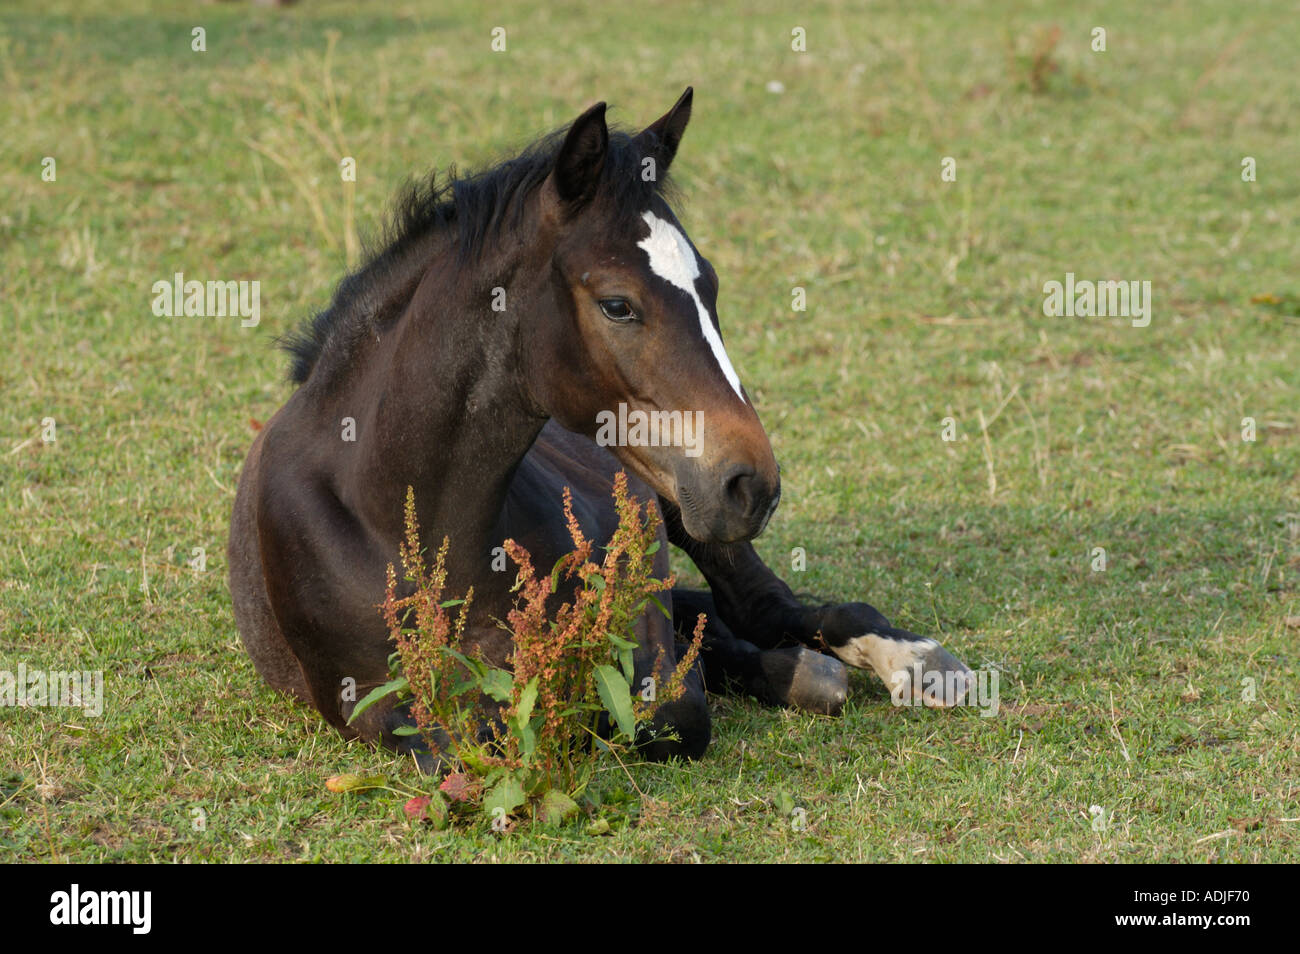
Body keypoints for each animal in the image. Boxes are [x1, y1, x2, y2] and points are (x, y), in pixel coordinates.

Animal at [228, 88, 973, 768]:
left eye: (710, 285)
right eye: (618, 304)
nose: (753, 483)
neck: (396, 520)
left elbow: (660, 709)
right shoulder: (376, 708)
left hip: (686, 507)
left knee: (763, 606)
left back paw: (909, 661)